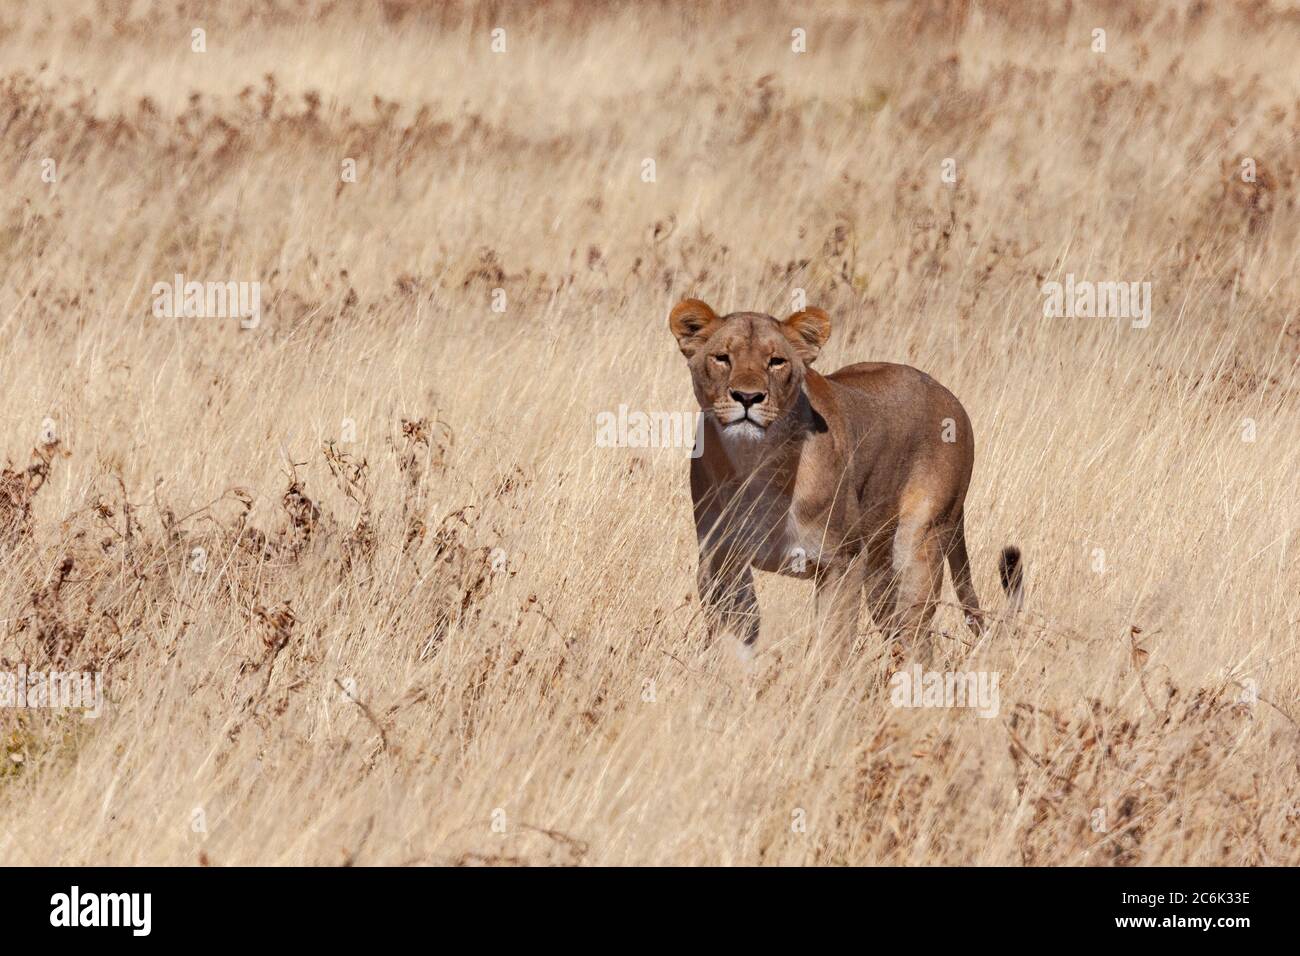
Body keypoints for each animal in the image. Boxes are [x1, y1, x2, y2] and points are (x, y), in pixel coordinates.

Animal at [668, 298, 1022, 660]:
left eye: (776, 362)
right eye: (722, 358)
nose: (748, 397)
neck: (756, 460)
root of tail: (950, 397)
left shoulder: (843, 560)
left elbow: (832, 646)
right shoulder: (719, 558)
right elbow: (735, 634)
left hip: (920, 543)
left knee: (919, 639)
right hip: (880, 571)